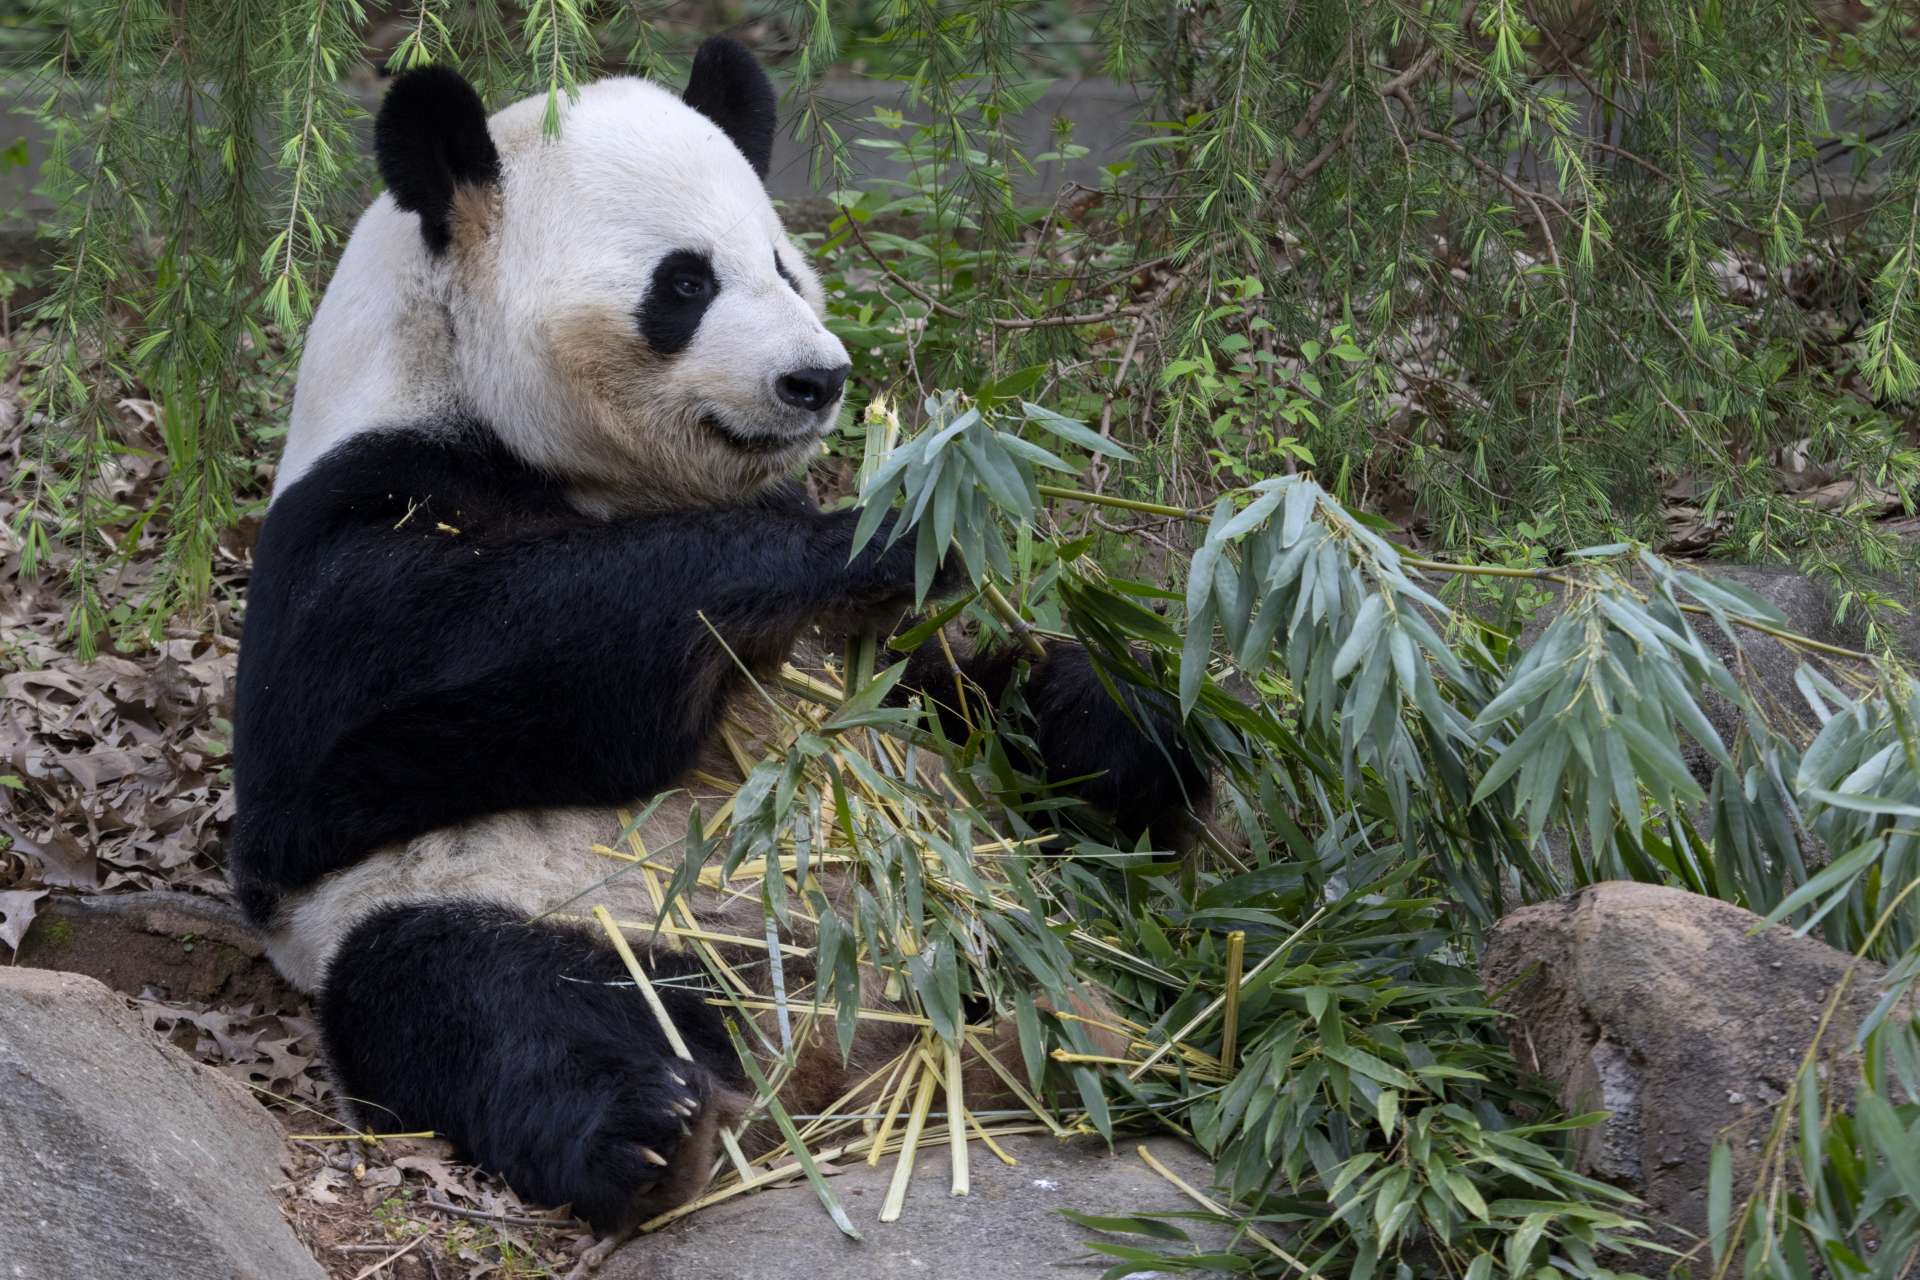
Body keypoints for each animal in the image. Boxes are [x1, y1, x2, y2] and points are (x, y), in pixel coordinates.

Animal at [232, 39, 1208, 1234]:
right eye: (685, 283)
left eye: (783, 265)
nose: (817, 379)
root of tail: (848, 1039)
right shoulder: (354, 520)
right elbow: (453, 664)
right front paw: (866, 534)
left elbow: (937, 693)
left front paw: (1090, 689)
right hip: (536, 913)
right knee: (486, 997)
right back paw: (650, 1129)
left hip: (986, 900)